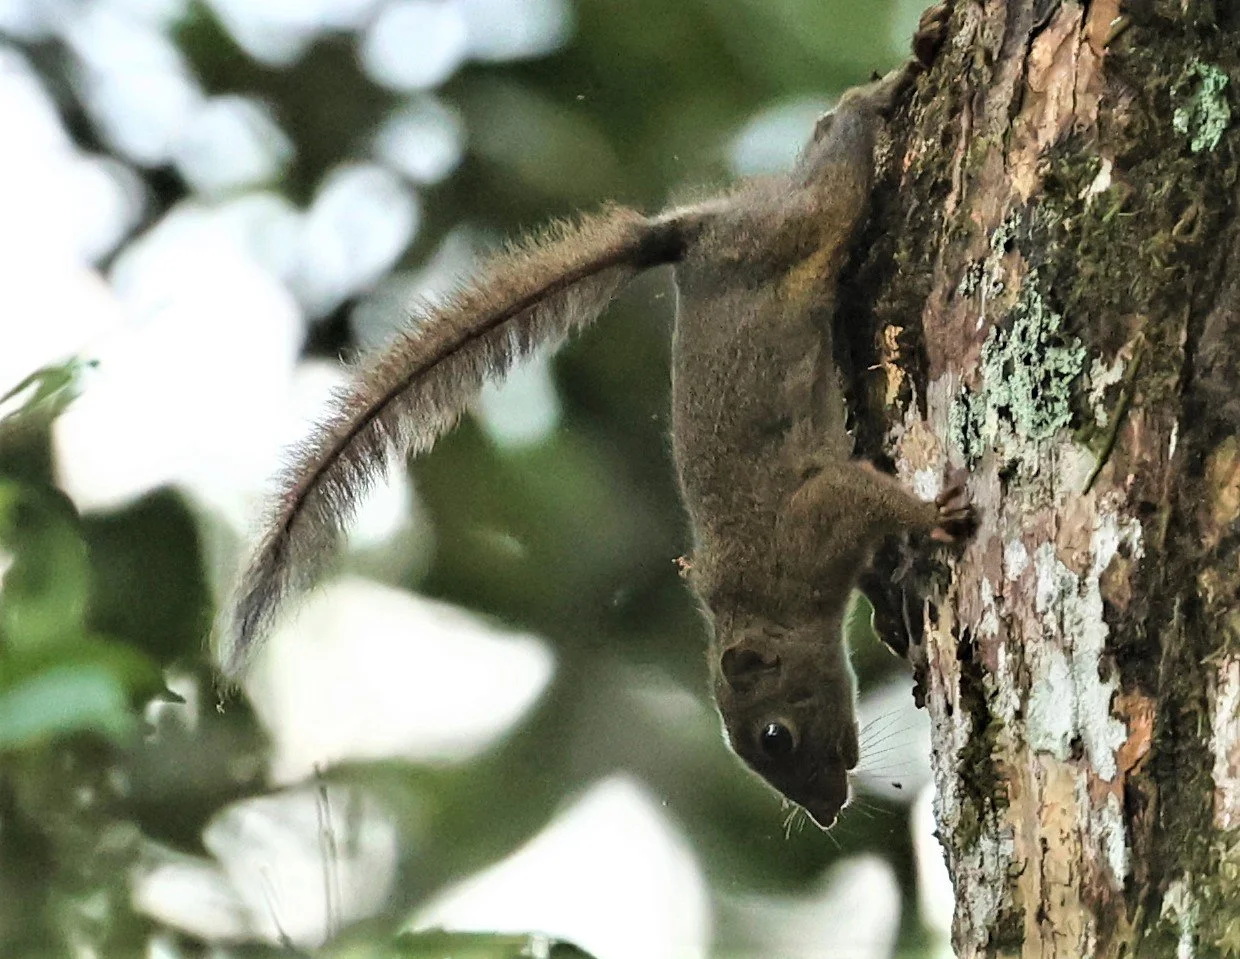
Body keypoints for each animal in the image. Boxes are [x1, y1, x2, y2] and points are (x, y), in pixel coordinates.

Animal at [217, 2, 969, 831]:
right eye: (764, 751)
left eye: (775, 733)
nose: (827, 810)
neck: (761, 599)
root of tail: (687, 234)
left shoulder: (812, 520)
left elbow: (864, 497)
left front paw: (934, 518)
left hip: (799, 226)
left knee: (835, 159)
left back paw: (889, 86)